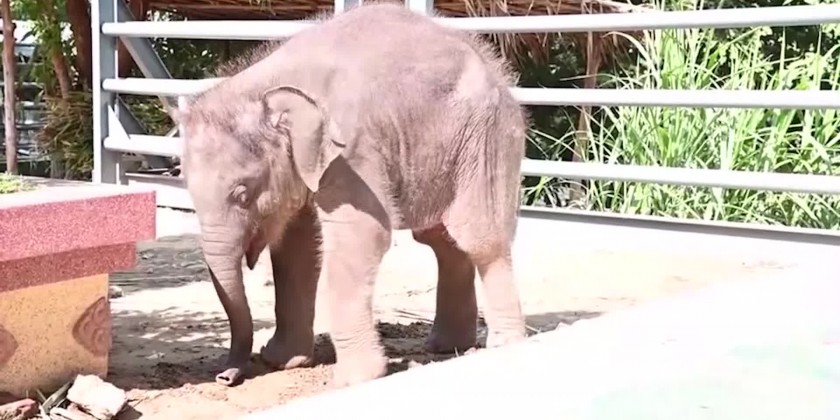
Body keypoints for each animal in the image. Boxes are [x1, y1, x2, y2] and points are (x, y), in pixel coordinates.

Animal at [175, 2, 528, 388]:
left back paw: (504, 345)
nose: (225, 377)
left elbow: (358, 236)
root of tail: (494, 65)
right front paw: (282, 361)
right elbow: (296, 249)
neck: (269, 85)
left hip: (487, 139)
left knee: (478, 238)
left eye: (242, 193)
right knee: (442, 240)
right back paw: (447, 347)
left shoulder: (351, 151)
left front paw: (353, 379)